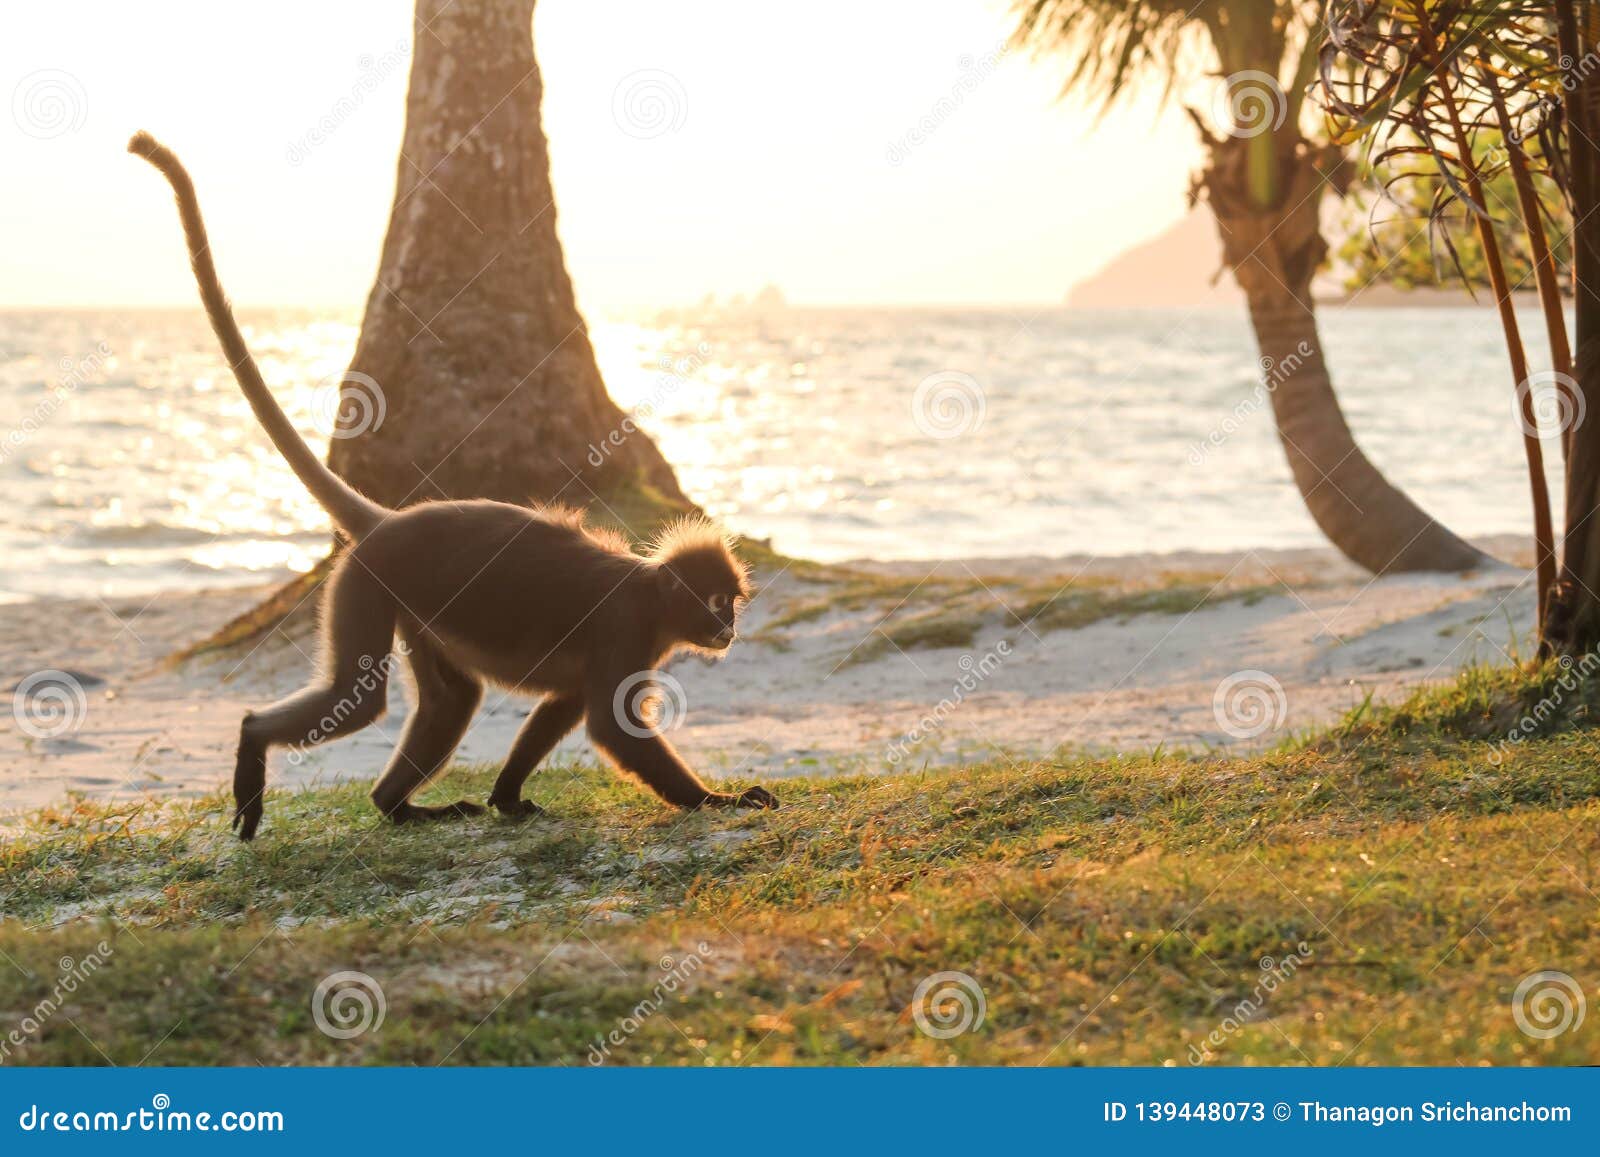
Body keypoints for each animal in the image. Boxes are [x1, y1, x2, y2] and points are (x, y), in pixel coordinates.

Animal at [128, 131, 778, 840]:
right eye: (716, 602)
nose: (728, 629)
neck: (649, 592)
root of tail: (387, 519)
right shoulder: (626, 628)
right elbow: (611, 728)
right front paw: (718, 801)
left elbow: (564, 704)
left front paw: (507, 796)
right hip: (364, 583)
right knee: (355, 699)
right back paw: (257, 742)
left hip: (407, 600)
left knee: (451, 698)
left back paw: (397, 806)